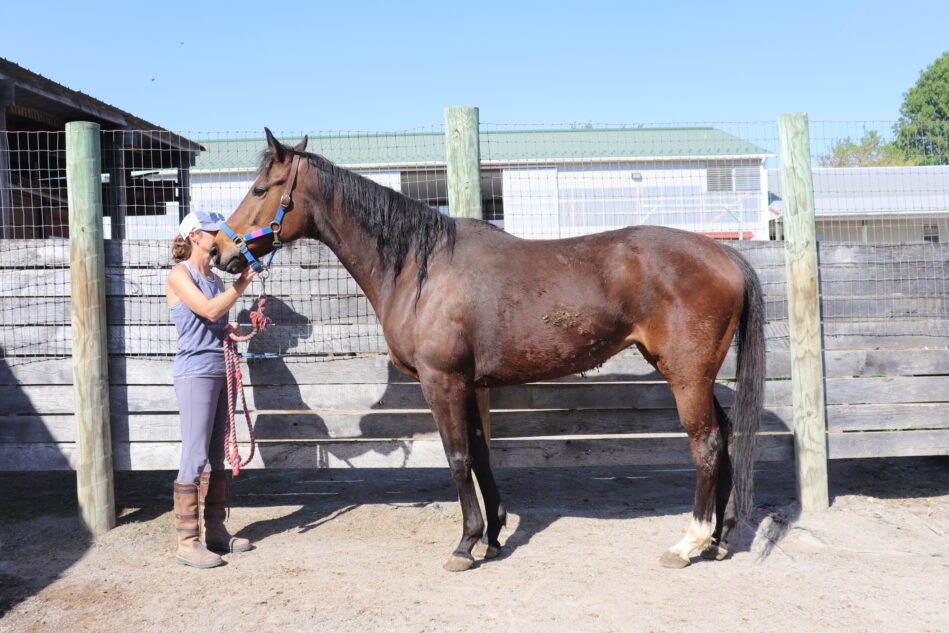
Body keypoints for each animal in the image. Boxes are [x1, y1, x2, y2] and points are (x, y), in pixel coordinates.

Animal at [211, 129, 766, 571]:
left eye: (260, 188)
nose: (218, 249)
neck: (421, 268)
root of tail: (724, 254)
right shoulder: (470, 384)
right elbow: (480, 454)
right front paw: (495, 536)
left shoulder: (442, 382)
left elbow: (457, 458)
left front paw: (466, 544)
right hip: (694, 374)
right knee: (724, 434)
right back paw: (720, 538)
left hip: (686, 375)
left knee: (705, 444)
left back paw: (689, 542)